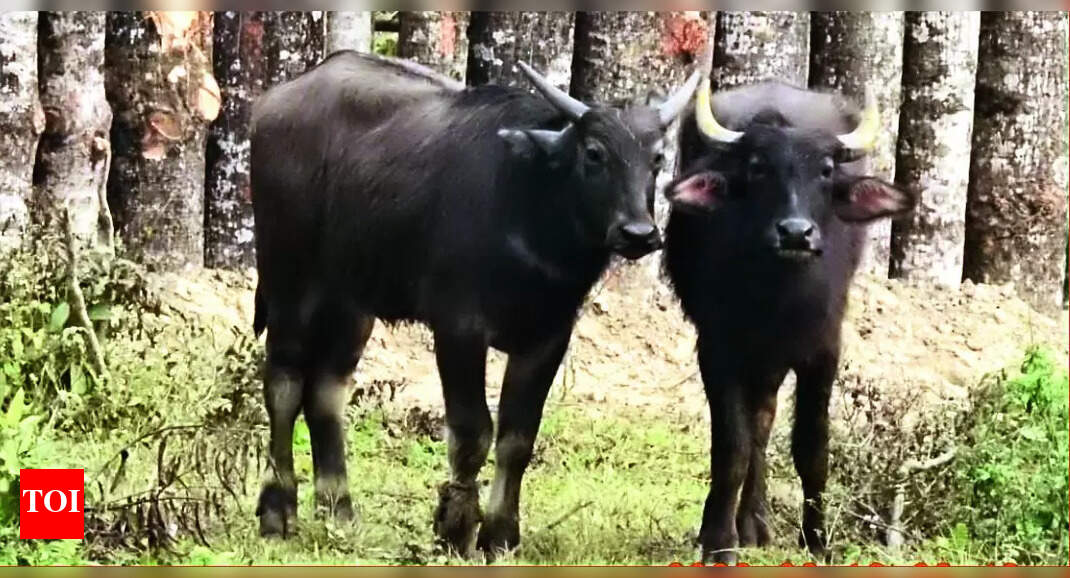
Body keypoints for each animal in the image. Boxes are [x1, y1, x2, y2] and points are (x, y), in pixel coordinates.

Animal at [249, 51, 701, 558]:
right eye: (594, 153)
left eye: (656, 158)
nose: (639, 233)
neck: (530, 217)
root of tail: (273, 104)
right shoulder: (459, 328)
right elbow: (471, 432)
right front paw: (455, 525)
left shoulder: (547, 338)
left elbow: (517, 438)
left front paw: (500, 533)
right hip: (289, 282)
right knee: (283, 383)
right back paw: (277, 509)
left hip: (351, 305)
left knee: (325, 390)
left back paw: (339, 510)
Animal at [663, 79, 916, 564]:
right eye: (759, 167)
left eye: (825, 170)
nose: (796, 233)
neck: (780, 300)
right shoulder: (718, 348)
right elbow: (732, 447)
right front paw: (718, 542)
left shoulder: (822, 350)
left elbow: (812, 447)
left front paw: (817, 541)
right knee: (752, 430)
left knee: (764, 421)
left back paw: (755, 525)